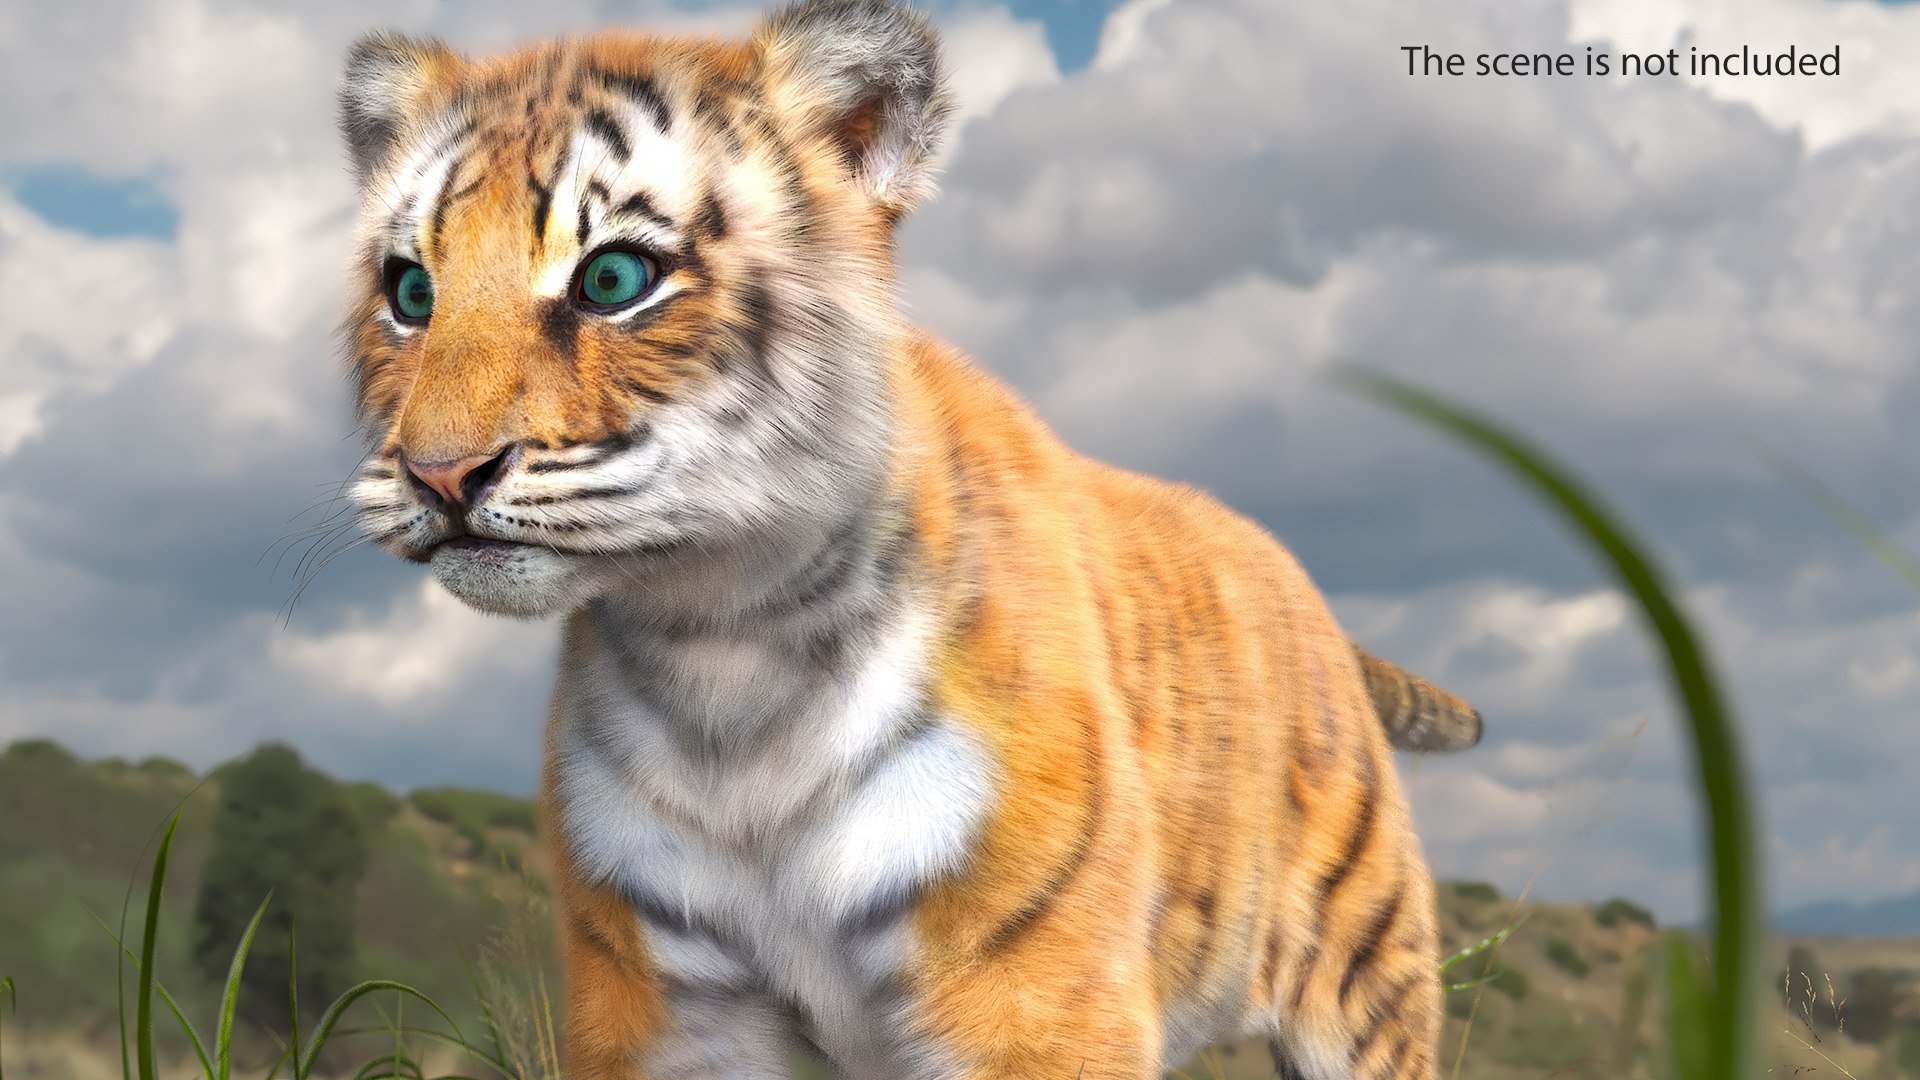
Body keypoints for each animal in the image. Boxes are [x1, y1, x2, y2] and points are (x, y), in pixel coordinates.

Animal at [336, 1, 1482, 1076]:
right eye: (412, 292)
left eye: (614, 280)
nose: (441, 476)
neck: (723, 655)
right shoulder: (668, 1000)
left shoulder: (1034, 996)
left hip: (1363, 988)